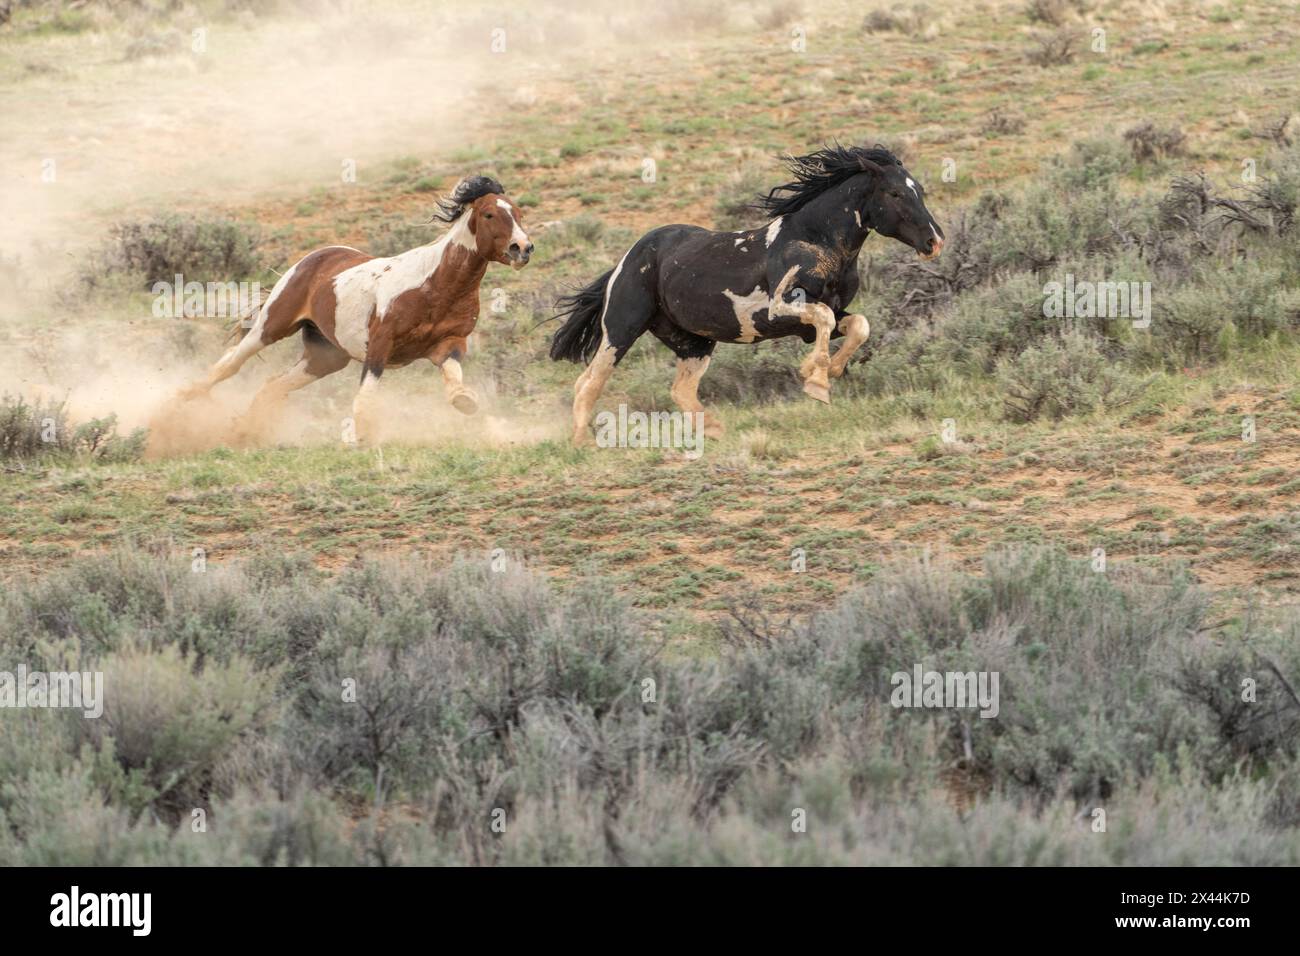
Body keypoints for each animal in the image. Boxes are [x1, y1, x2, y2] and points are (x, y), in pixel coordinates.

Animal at [178, 175, 533, 440]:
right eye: (489, 214)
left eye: (518, 213)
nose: (523, 248)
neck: (435, 286)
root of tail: (314, 257)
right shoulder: (380, 344)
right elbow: (366, 395)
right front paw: (361, 436)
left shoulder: (450, 344)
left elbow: (454, 378)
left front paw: (465, 401)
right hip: (272, 326)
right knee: (230, 364)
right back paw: (180, 404)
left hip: (325, 357)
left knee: (274, 386)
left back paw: (245, 431)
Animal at [548, 144, 943, 444]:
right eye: (895, 193)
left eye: (920, 190)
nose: (934, 242)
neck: (816, 239)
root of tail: (625, 261)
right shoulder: (782, 307)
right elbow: (826, 319)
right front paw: (816, 381)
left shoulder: (818, 319)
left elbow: (857, 324)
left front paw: (829, 370)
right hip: (622, 329)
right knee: (588, 382)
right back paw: (582, 441)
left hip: (694, 342)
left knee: (681, 390)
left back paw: (714, 430)